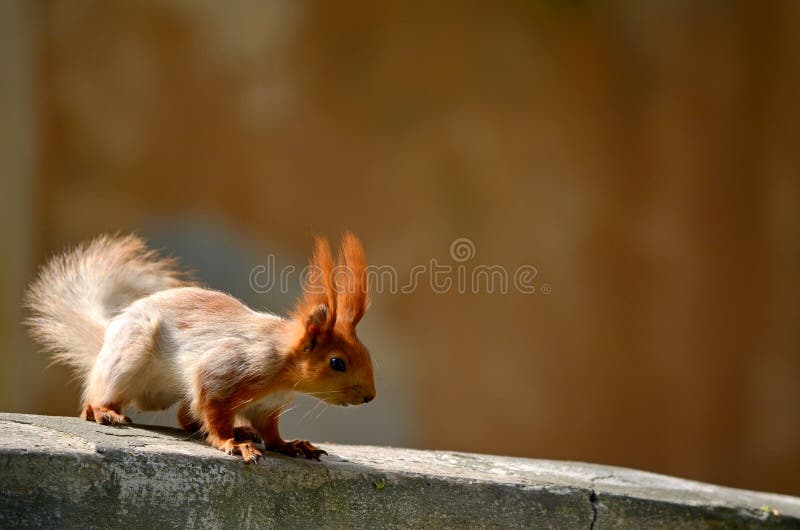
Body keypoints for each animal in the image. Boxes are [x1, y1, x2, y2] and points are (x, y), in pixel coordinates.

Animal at [24, 233, 375, 463]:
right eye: (337, 362)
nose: (370, 397)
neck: (282, 371)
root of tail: (106, 339)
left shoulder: (266, 406)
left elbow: (270, 431)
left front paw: (290, 445)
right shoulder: (224, 371)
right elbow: (214, 411)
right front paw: (231, 443)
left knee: (185, 415)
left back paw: (243, 431)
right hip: (129, 354)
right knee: (99, 395)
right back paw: (103, 410)